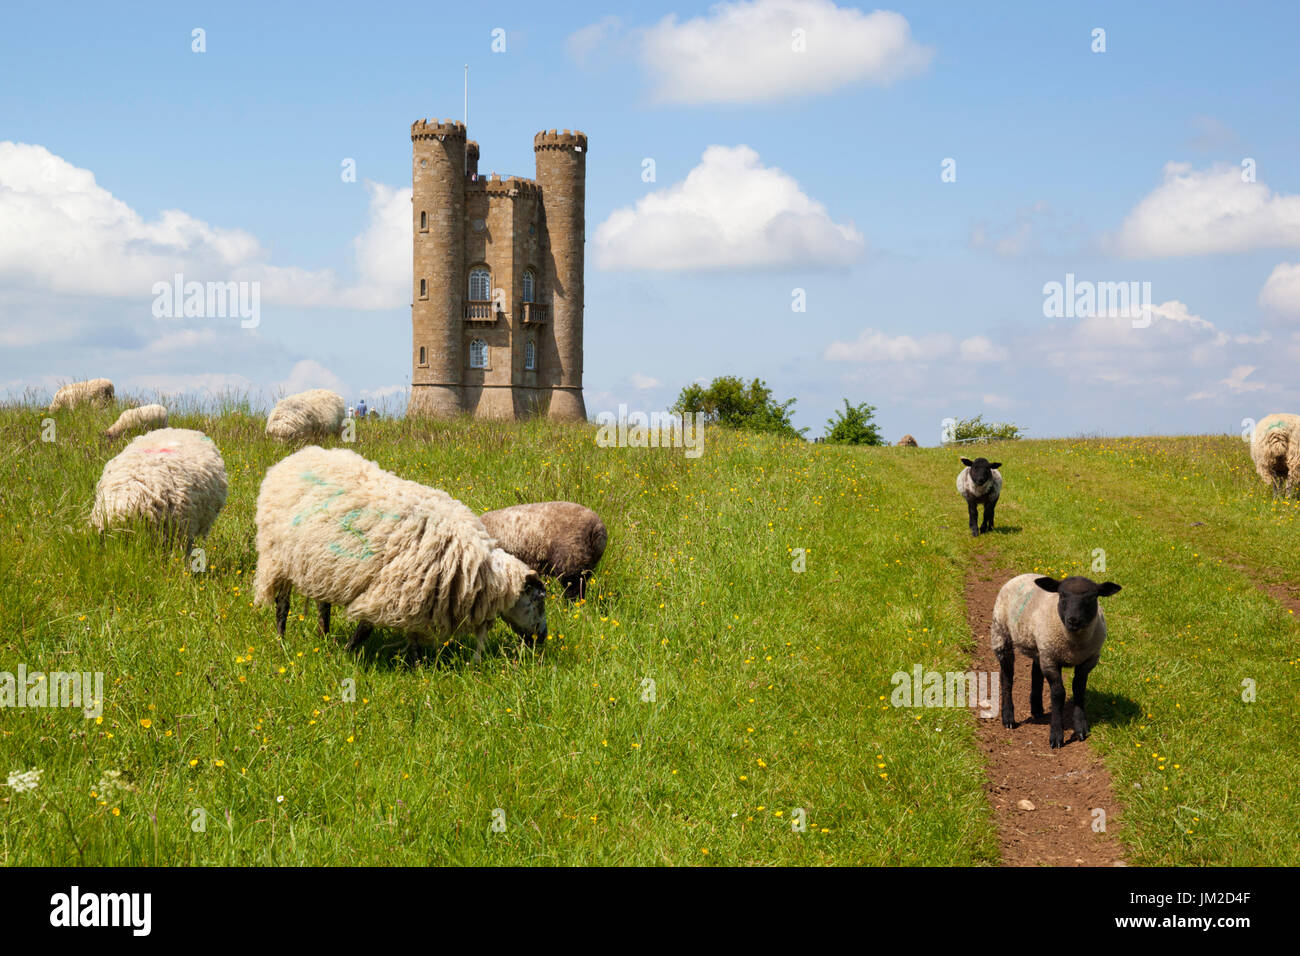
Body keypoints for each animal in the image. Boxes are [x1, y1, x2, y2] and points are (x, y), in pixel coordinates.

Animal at [252, 446, 547, 660]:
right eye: (537, 601)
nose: (543, 638)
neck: (477, 570)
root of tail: (294, 457)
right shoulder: (389, 588)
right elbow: (365, 629)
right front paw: (346, 655)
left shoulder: (416, 594)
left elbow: (411, 634)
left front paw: (417, 664)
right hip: (277, 557)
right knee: (282, 604)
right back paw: (281, 640)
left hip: (320, 563)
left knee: (322, 604)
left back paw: (324, 635)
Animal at [991, 574, 1121, 749]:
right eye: (1062, 595)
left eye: (1093, 597)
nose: (1073, 620)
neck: (1074, 644)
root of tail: (1022, 575)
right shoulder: (1051, 660)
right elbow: (1058, 694)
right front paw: (1056, 735)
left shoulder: (1088, 661)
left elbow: (1079, 689)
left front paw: (1081, 728)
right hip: (1001, 635)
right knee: (1007, 678)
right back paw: (1008, 718)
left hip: (1039, 647)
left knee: (1035, 673)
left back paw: (1037, 709)